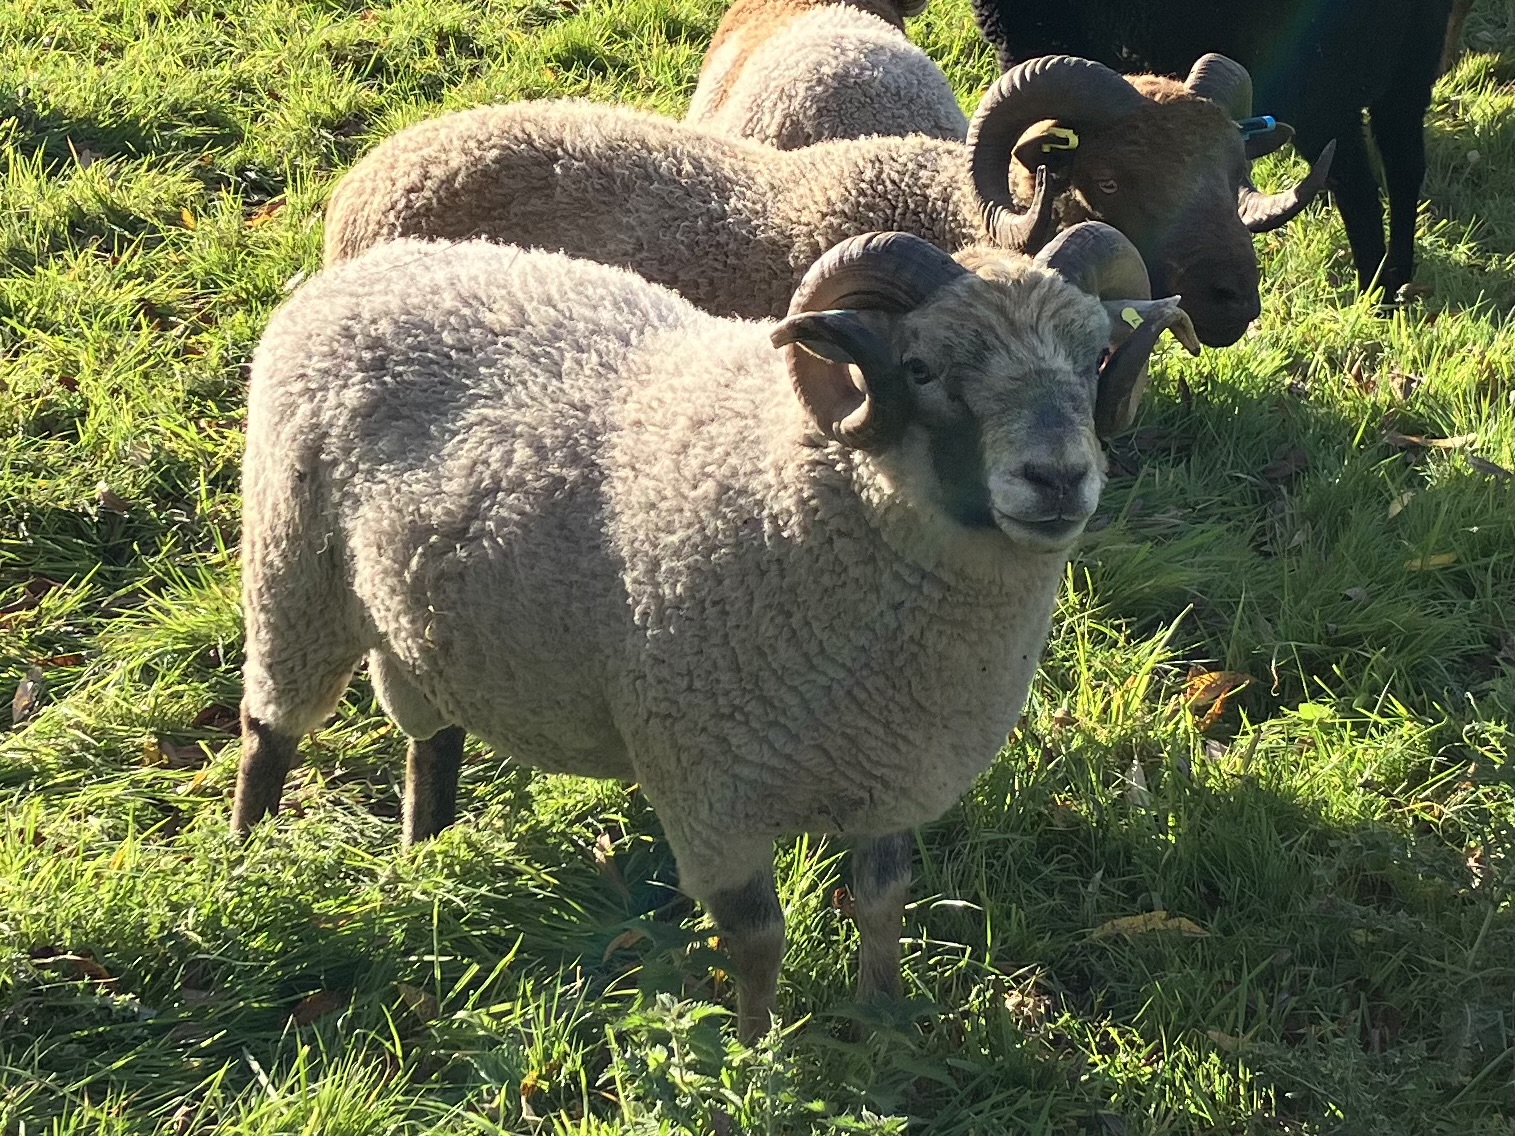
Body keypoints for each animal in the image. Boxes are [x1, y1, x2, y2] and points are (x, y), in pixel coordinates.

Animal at [233, 222, 1197, 1038]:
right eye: (921, 368)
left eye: (1095, 357)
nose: (1057, 477)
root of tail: (371, 265)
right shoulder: (709, 787)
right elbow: (758, 938)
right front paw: (754, 1052)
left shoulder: (895, 774)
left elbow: (882, 901)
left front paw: (883, 1022)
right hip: (294, 572)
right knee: (269, 729)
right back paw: (247, 862)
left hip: (420, 619)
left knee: (429, 734)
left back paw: (429, 849)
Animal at [969, 0, 1452, 297]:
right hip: (1412, 69)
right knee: (1406, 168)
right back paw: (1399, 279)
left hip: (1324, 87)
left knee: (1358, 189)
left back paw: (1375, 292)